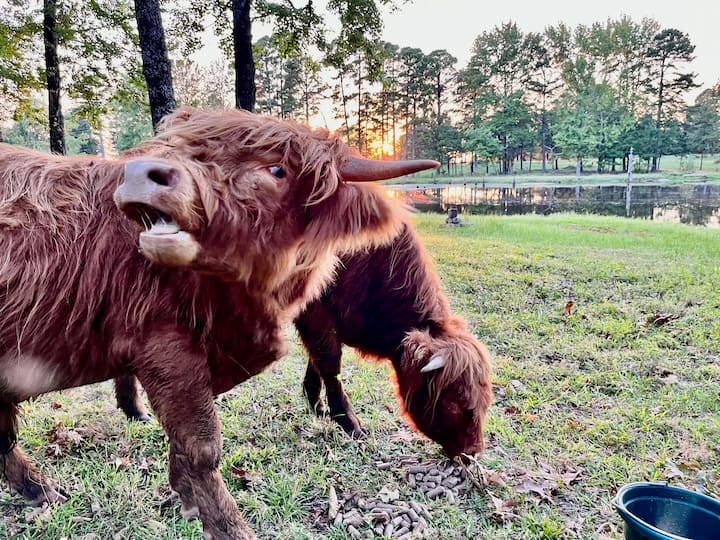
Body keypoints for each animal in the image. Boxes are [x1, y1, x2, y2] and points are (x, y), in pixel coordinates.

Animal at [0, 106, 439, 539]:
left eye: (277, 170)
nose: (140, 174)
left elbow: (185, 439)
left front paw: (186, 499)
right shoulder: (165, 349)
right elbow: (203, 446)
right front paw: (228, 526)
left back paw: (41, 489)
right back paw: (42, 489)